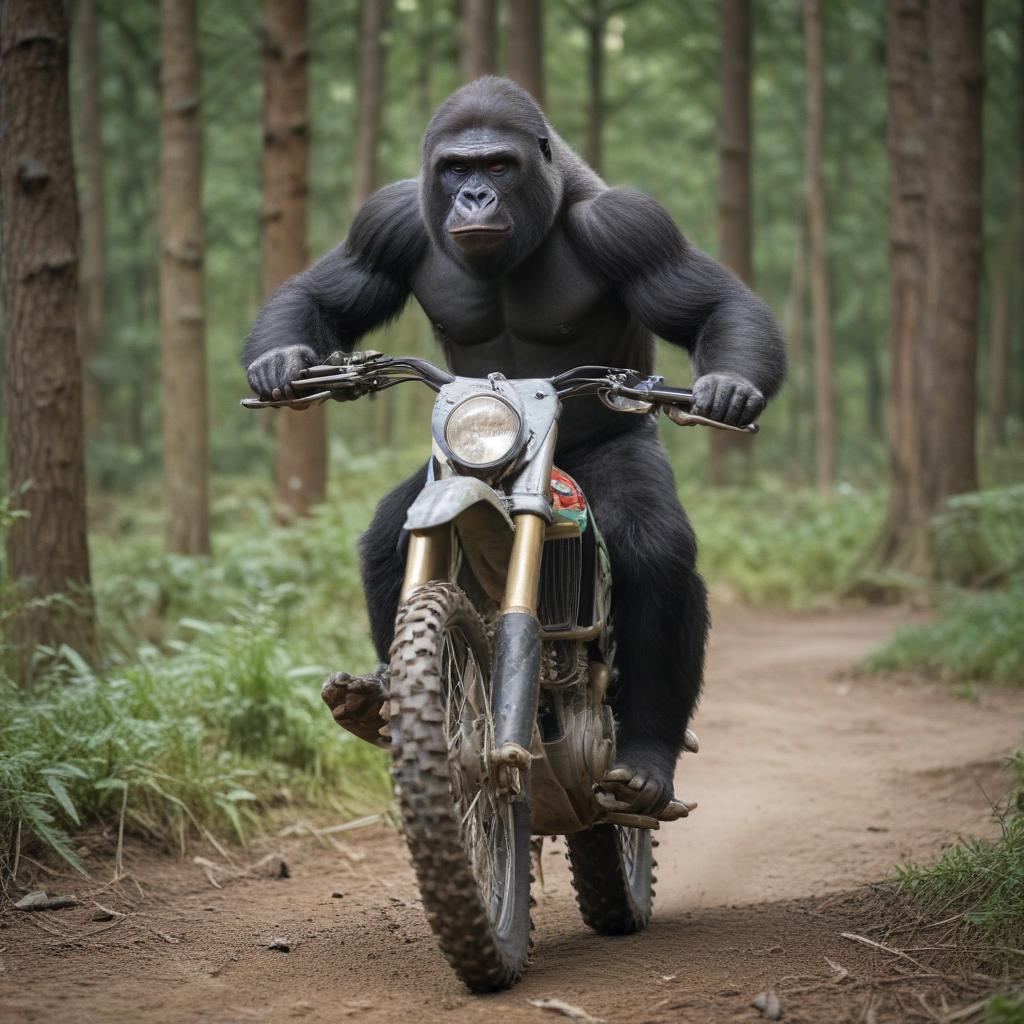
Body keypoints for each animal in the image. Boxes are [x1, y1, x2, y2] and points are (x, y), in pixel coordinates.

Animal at [243, 77, 786, 816]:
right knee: (387, 539)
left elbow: (714, 305)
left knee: (656, 555)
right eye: (456, 168)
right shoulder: (385, 221)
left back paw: (647, 769)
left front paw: (728, 390)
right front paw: (282, 366)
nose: (476, 195)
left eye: (498, 165)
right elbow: (322, 293)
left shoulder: (632, 226)